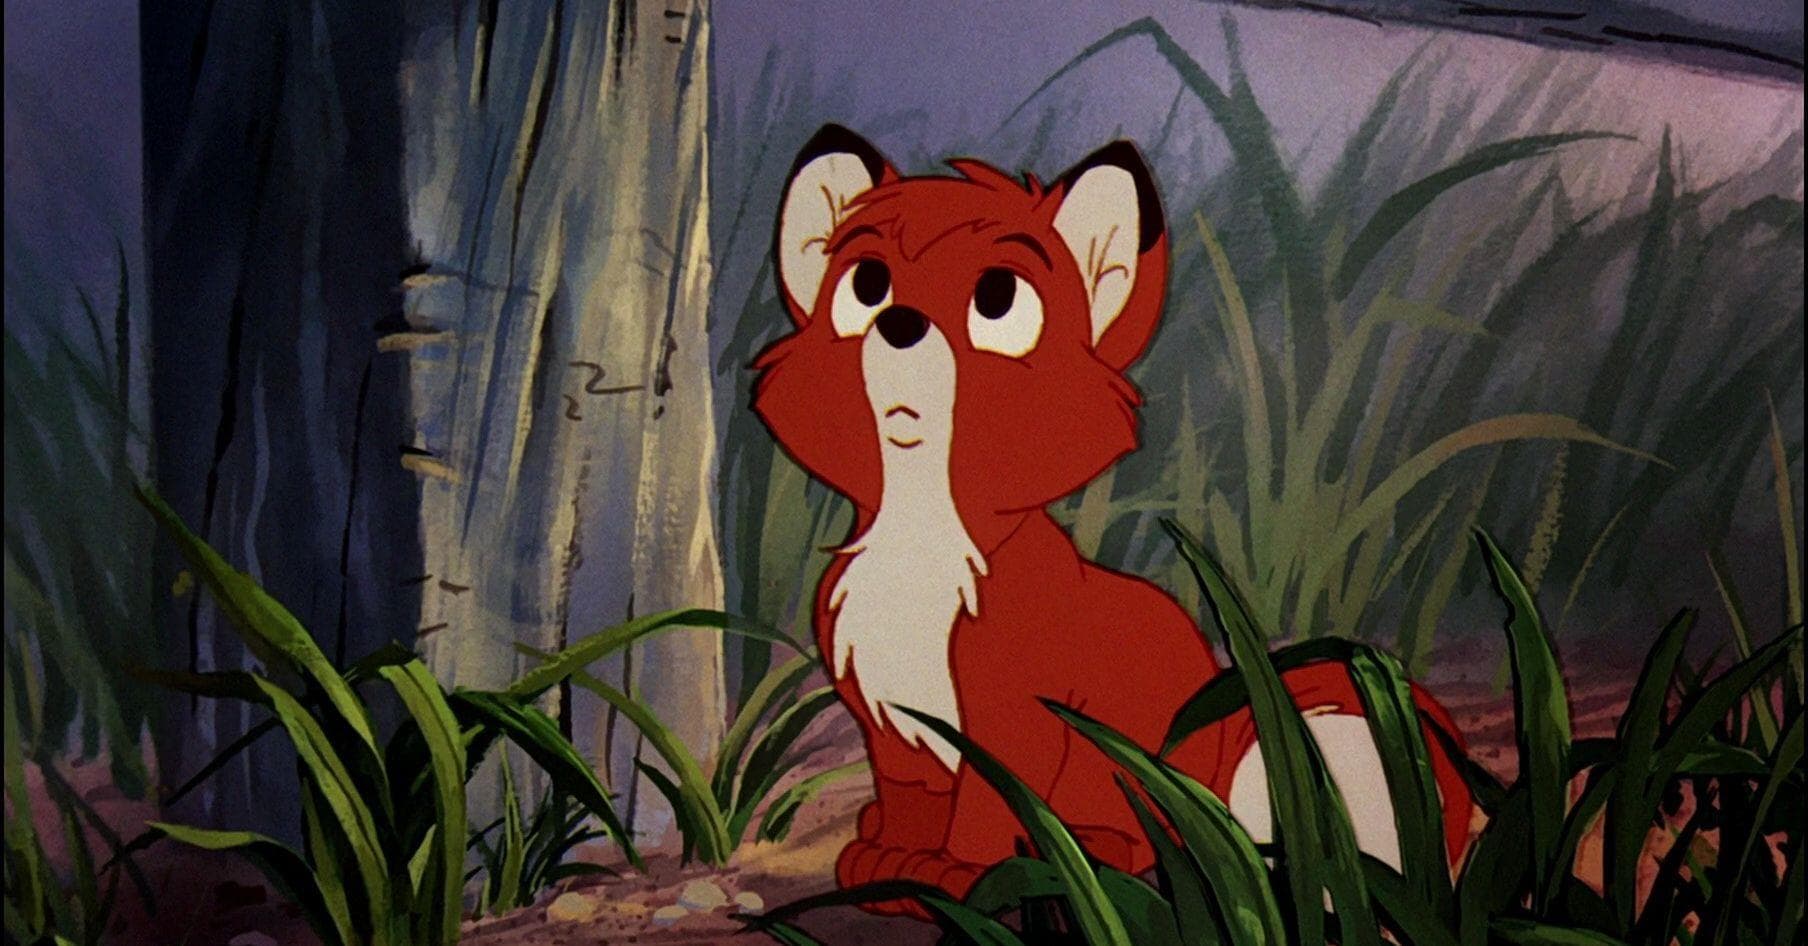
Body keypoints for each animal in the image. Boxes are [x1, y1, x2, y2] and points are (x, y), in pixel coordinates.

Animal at [752, 124, 1474, 917]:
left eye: (997, 300)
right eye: (866, 285)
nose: (899, 323)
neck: (922, 542)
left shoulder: (1009, 721)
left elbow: (982, 805)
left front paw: (957, 872)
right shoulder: (888, 722)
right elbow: (913, 799)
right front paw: (893, 861)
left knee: (1134, 841)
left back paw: (1084, 851)